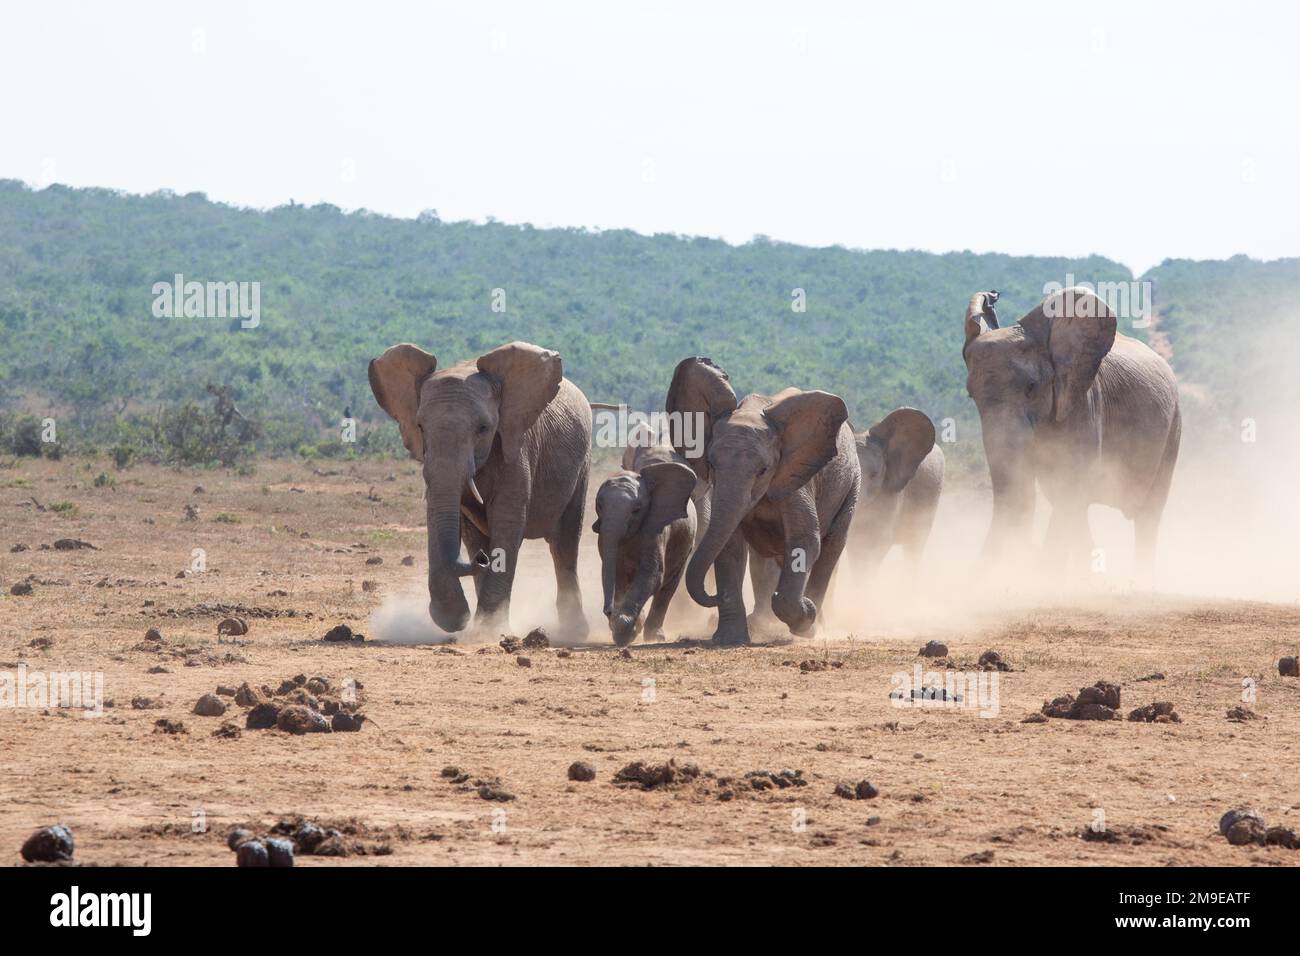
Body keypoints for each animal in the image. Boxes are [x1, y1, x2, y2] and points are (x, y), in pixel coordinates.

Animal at [368, 340, 591, 638]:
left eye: (484, 428)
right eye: (420, 427)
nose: (483, 560)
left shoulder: (516, 445)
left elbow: (507, 522)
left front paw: (491, 631)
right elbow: (445, 518)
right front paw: (460, 621)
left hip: (582, 464)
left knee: (564, 544)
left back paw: (574, 631)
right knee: (479, 538)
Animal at [593, 437, 698, 646]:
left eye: (636, 510)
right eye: (599, 505)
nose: (609, 611)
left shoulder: (656, 530)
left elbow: (652, 574)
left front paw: (625, 629)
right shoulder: (603, 536)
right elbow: (616, 573)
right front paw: (626, 628)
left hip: (686, 544)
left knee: (668, 586)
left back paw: (654, 636)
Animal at [667, 357, 860, 646]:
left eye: (763, 470)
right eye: (711, 464)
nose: (713, 598)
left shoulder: (795, 477)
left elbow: (804, 540)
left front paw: (805, 617)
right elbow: (729, 546)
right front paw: (729, 639)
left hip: (851, 486)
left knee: (830, 549)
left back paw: (814, 624)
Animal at [962, 287, 1180, 581]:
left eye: (1031, 387)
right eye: (971, 395)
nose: (993, 295)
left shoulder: (1082, 403)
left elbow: (1069, 487)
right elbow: (1065, 496)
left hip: (1173, 427)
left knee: (1148, 515)